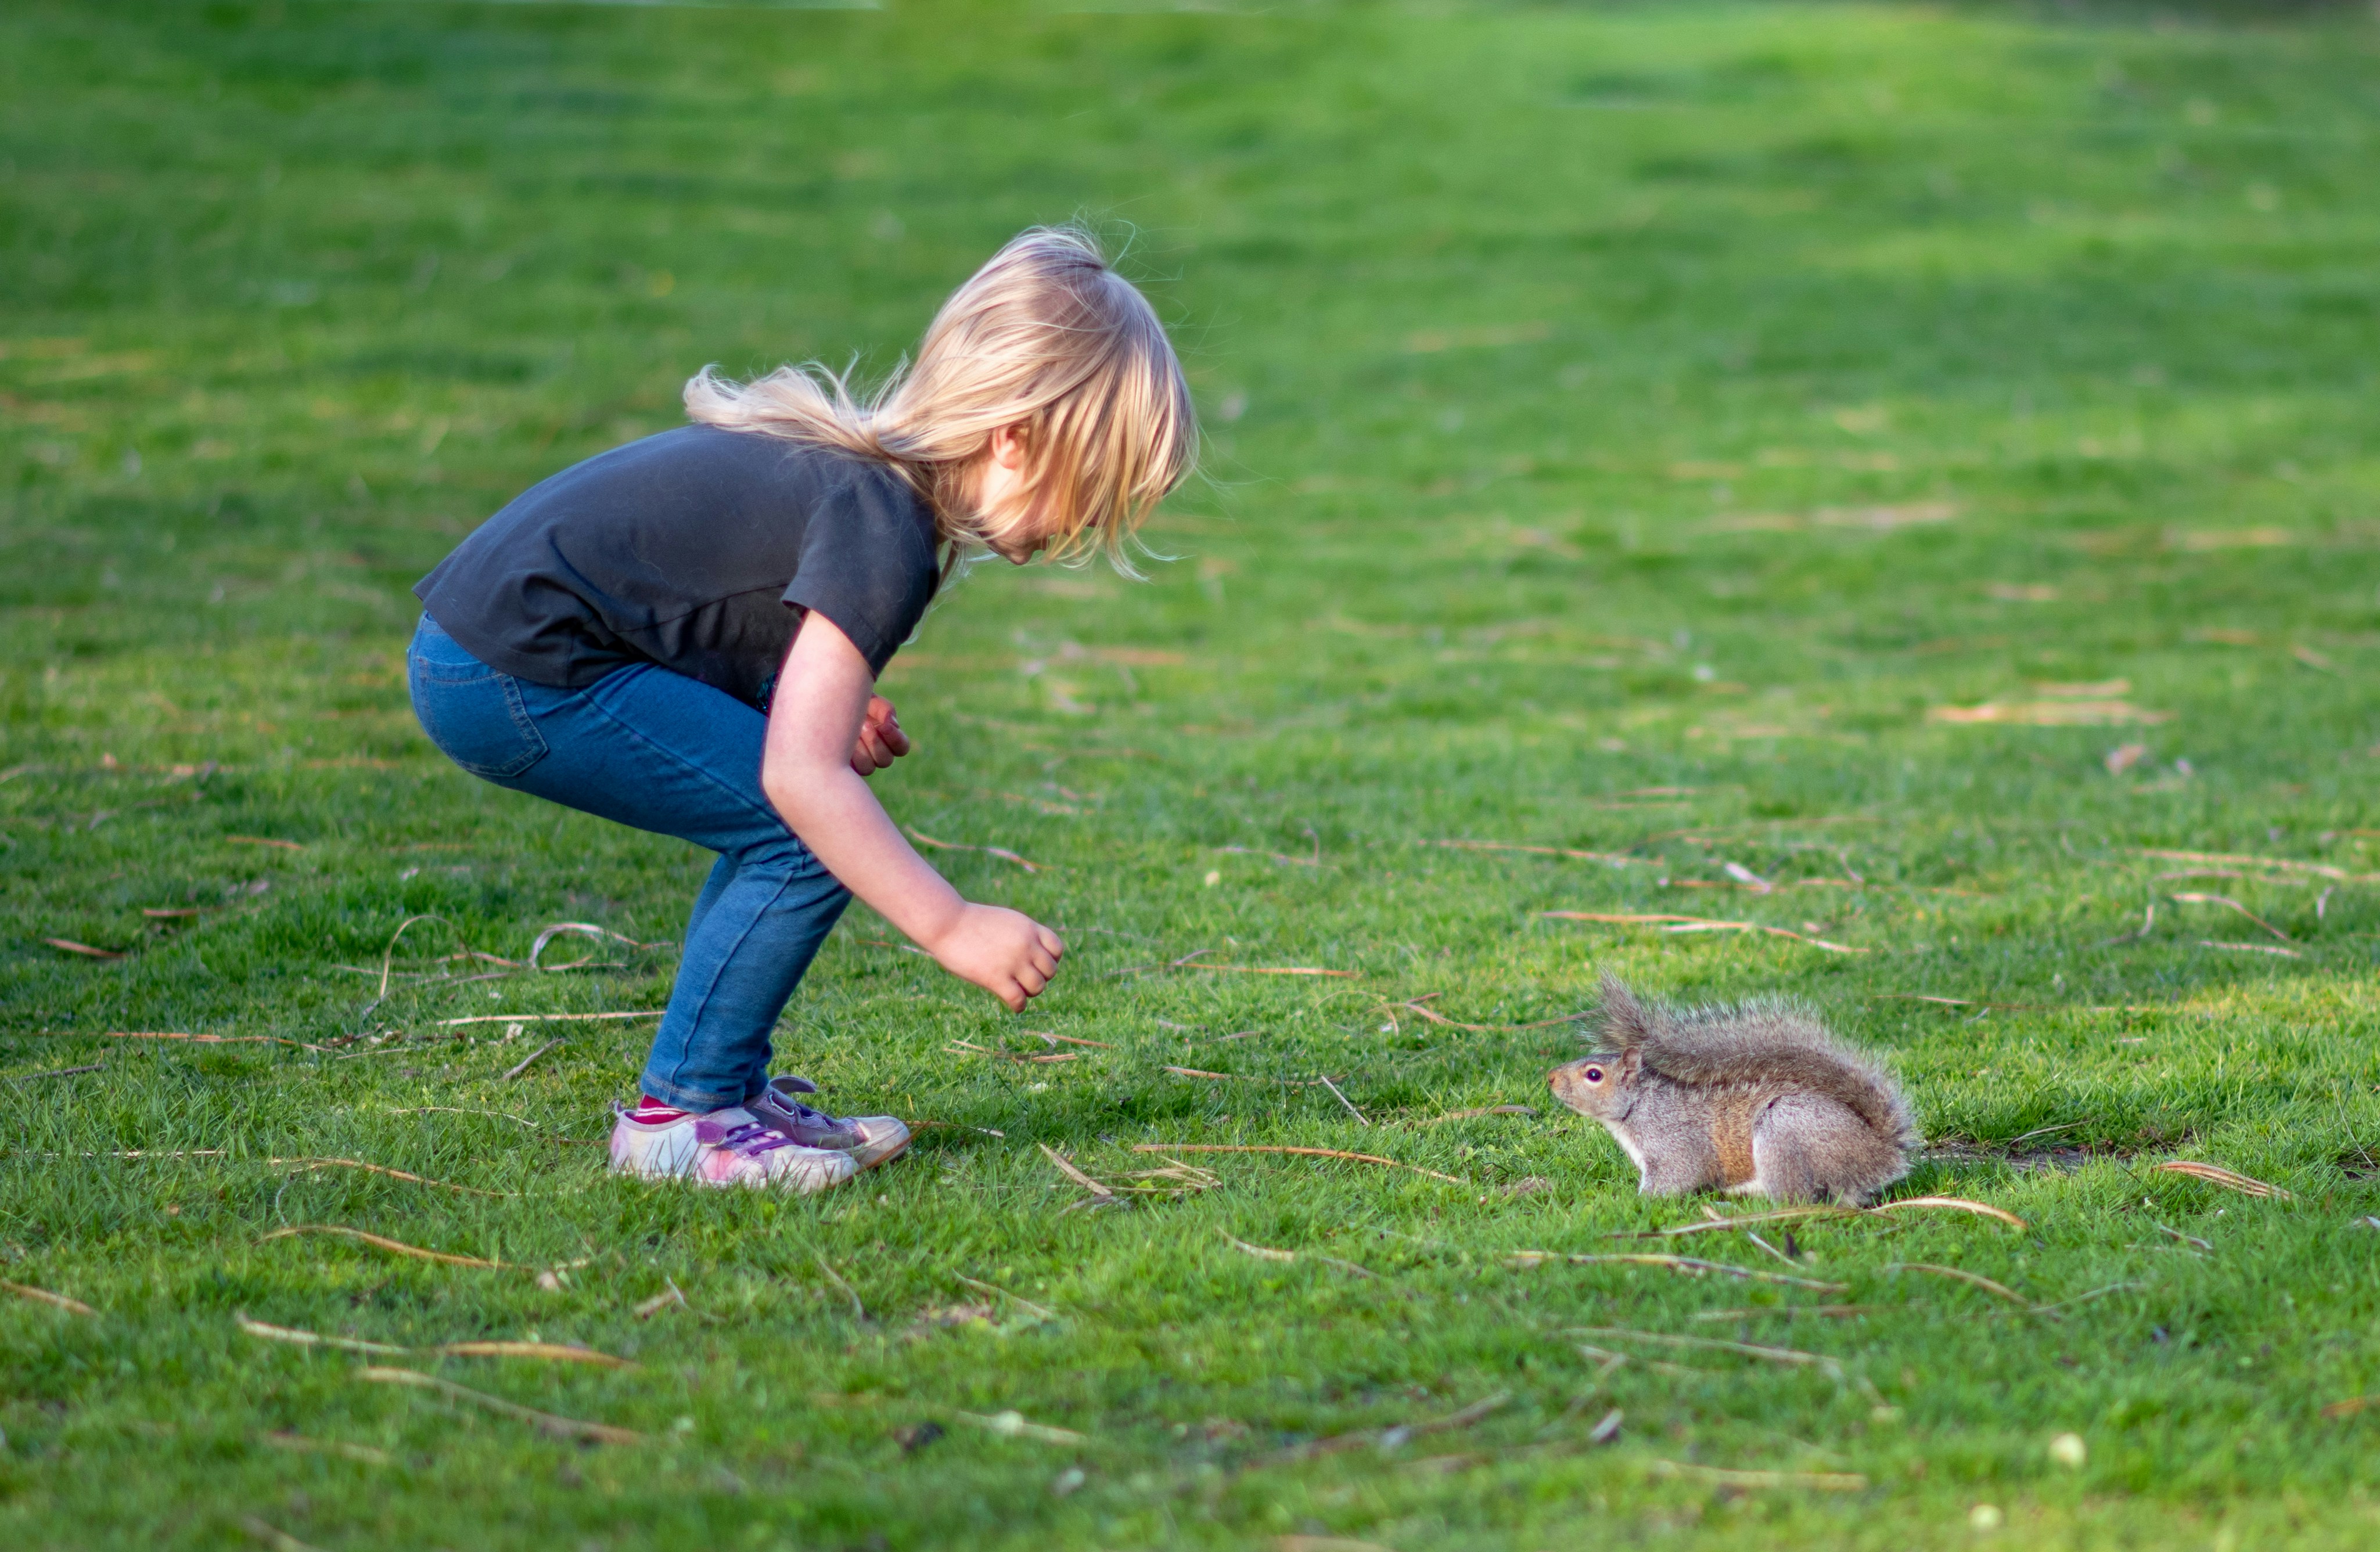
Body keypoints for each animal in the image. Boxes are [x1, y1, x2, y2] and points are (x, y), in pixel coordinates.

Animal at [1547, 974, 1919, 1204]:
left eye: (1594, 1075)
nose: (1550, 1077)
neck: (1639, 1105)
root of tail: (1880, 1153)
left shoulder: (1676, 1144)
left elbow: (1681, 1175)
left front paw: (1631, 1203)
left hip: (1783, 1133)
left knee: (1797, 1200)